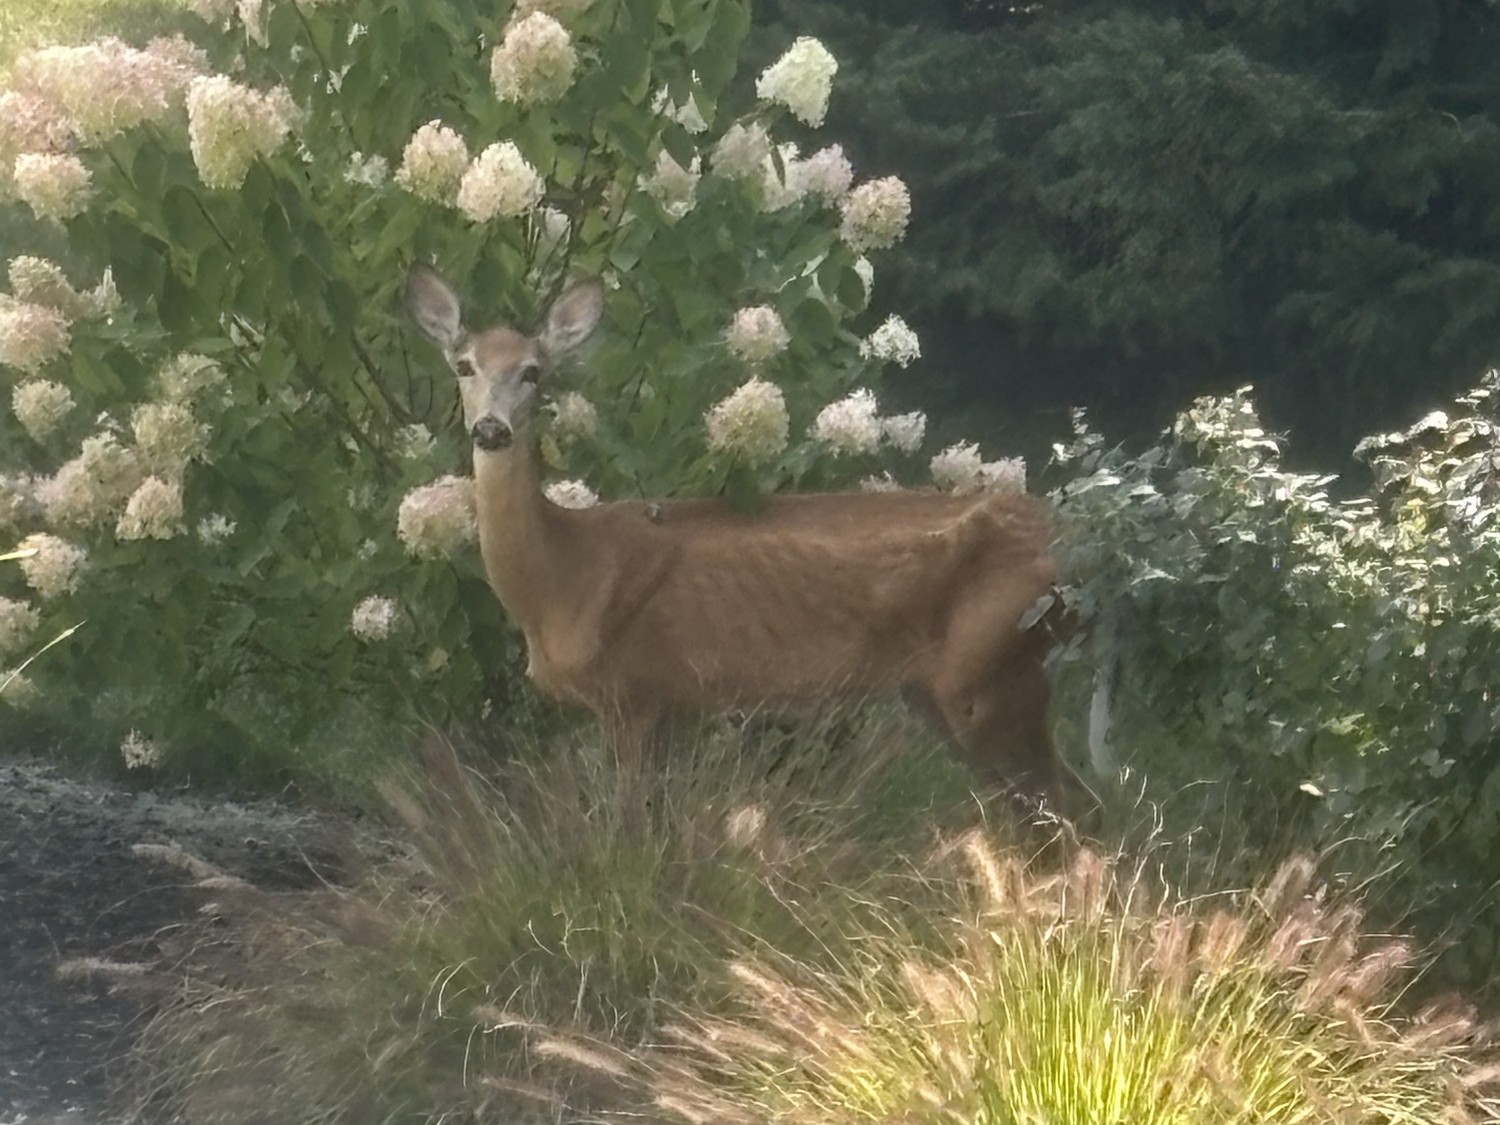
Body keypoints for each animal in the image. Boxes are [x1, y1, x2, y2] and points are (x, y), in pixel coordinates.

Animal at [404, 266, 1067, 808]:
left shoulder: (634, 693)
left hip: (995, 666)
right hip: (937, 689)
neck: (561, 581)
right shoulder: (664, 706)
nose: (491, 429)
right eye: (464, 366)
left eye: (533, 372)